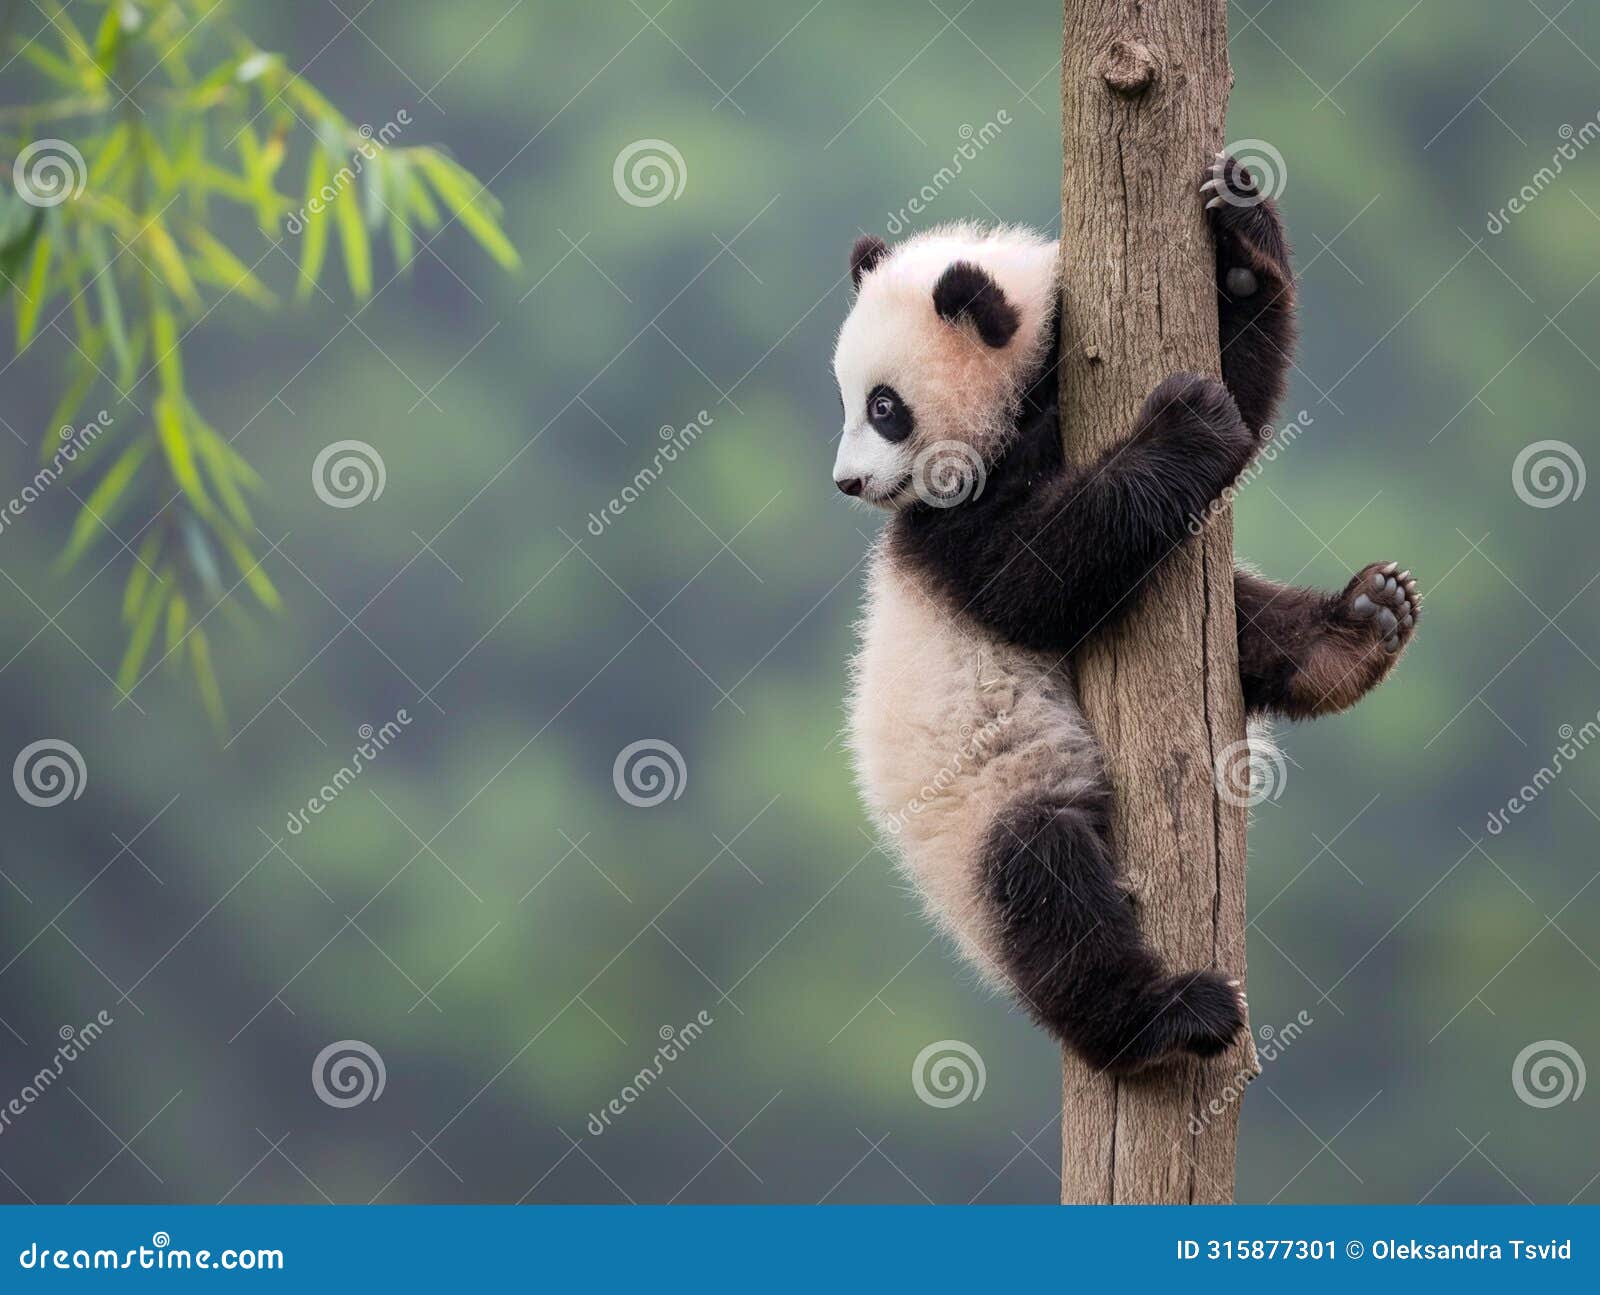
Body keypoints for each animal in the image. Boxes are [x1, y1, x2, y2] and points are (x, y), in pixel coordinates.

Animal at [833, 154, 1419, 1075]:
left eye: (883, 406)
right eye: (855, 400)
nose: (848, 482)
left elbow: (1245, 396)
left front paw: (1243, 240)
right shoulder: (949, 529)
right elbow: (1034, 579)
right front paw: (1186, 425)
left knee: (1245, 620)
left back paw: (1361, 627)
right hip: (983, 812)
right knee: (1049, 897)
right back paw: (1167, 1016)